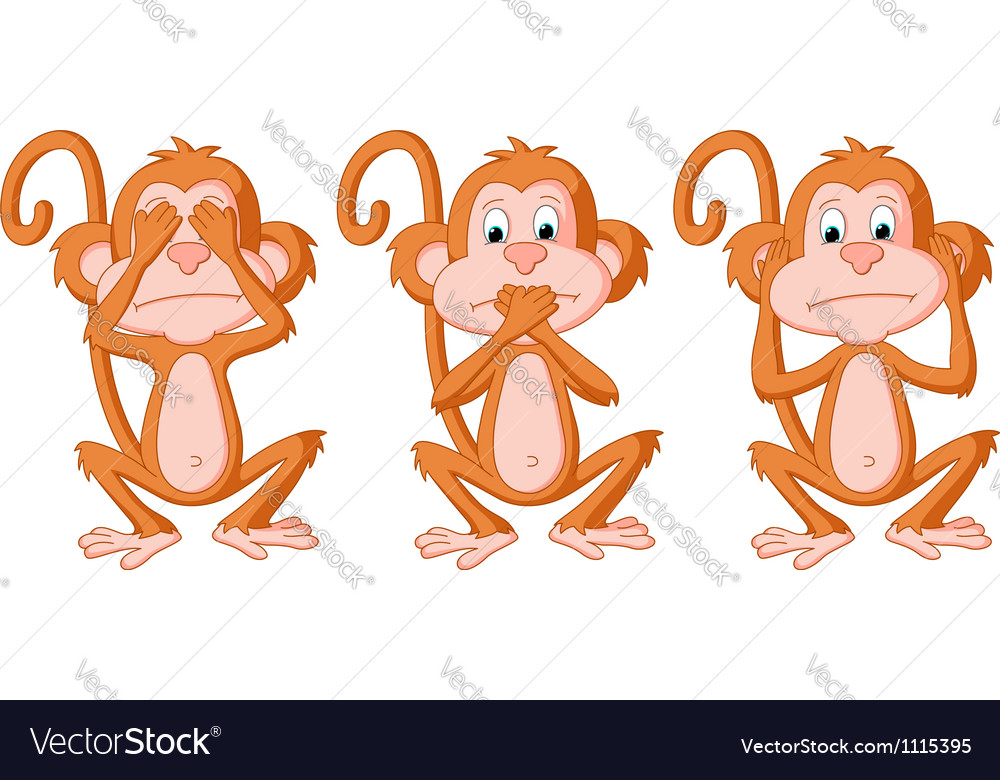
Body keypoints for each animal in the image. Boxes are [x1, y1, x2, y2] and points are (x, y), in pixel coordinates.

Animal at [2, 131, 324, 568]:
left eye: (218, 211)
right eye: (156, 213)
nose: (188, 254)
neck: (188, 341)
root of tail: (193, 504)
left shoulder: (222, 346)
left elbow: (277, 324)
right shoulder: (152, 349)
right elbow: (100, 331)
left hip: (238, 478)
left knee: (298, 447)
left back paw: (243, 532)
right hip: (150, 479)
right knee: (98, 459)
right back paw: (147, 539)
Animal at [338, 132, 660, 568]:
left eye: (547, 228)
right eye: (494, 232)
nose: (524, 254)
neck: (524, 347)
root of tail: (530, 502)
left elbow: (605, 389)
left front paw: (532, 314)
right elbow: (446, 393)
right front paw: (519, 313)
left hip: (573, 479)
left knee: (634, 448)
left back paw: (581, 532)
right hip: (483, 478)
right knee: (434, 458)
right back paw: (484, 538)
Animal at [674, 131, 996, 568]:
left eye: (883, 228)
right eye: (830, 232)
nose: (861, 255)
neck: (862, 344)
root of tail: (864, 503)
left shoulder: (888, 356)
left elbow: (958, 378)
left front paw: (948, 262)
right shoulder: (837, 358)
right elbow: (769, 381)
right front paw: (771, 267)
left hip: (910, 478)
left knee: (972, 447)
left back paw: (916, 531)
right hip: (822, 480)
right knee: (769, 458)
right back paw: (822, 539)